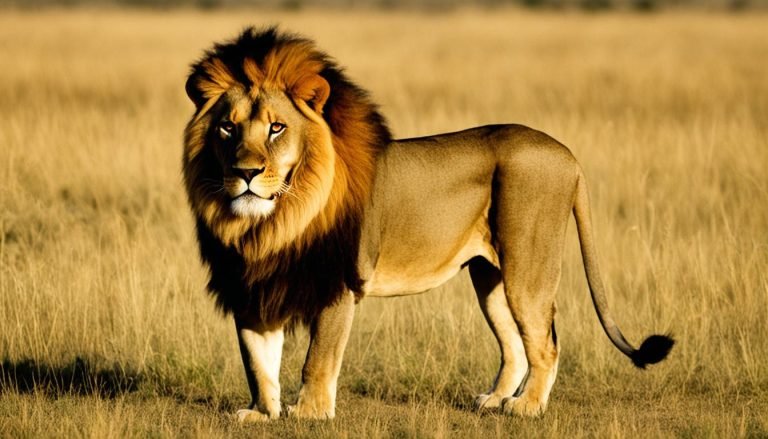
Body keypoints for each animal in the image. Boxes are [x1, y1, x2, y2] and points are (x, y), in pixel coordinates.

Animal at [182, 27, 674, 421]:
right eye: (227, 127)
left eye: (277, 128)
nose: (245, 173)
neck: (269, 223)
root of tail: (567, 153)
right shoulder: (251, 287)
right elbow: (257, 361)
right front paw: (261, 414)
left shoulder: (339, 282)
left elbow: (316, 359)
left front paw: (309, 414)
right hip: (489, 276)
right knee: (514, 344)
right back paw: (495, 400)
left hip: (527, 269)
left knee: (545, 342)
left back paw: (526, 408)